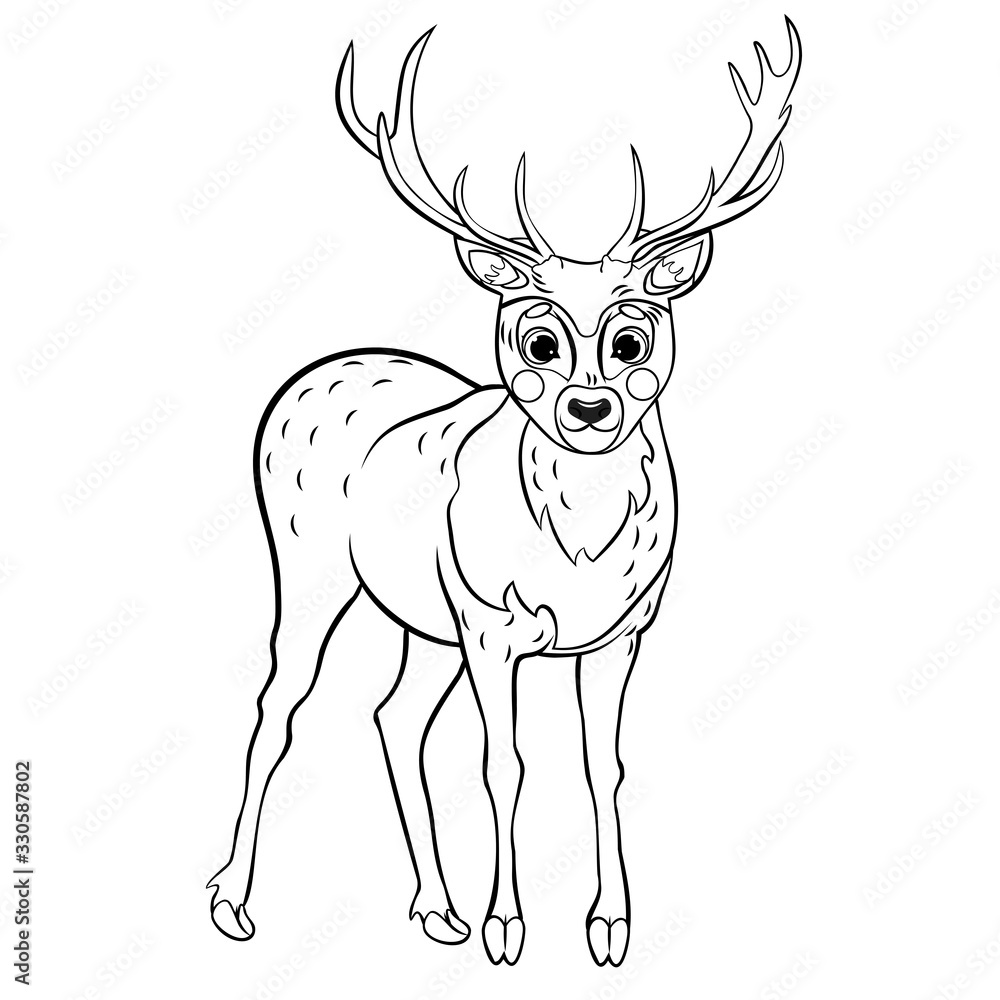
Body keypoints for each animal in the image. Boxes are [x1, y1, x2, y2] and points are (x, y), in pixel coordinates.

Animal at [208, 20, 801, 967]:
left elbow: (604, 764)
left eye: (633, 337)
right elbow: (504, 764)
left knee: (395, 716)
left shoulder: (622, 631)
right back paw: (233, 900)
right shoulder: (494, 625)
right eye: (538, 339)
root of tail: (310, 376)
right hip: (308, 565)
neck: (580, 556)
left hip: (420, 616)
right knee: (279, 702)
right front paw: (506, 927)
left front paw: (608, 927)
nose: (589, 410)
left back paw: (434, 908)